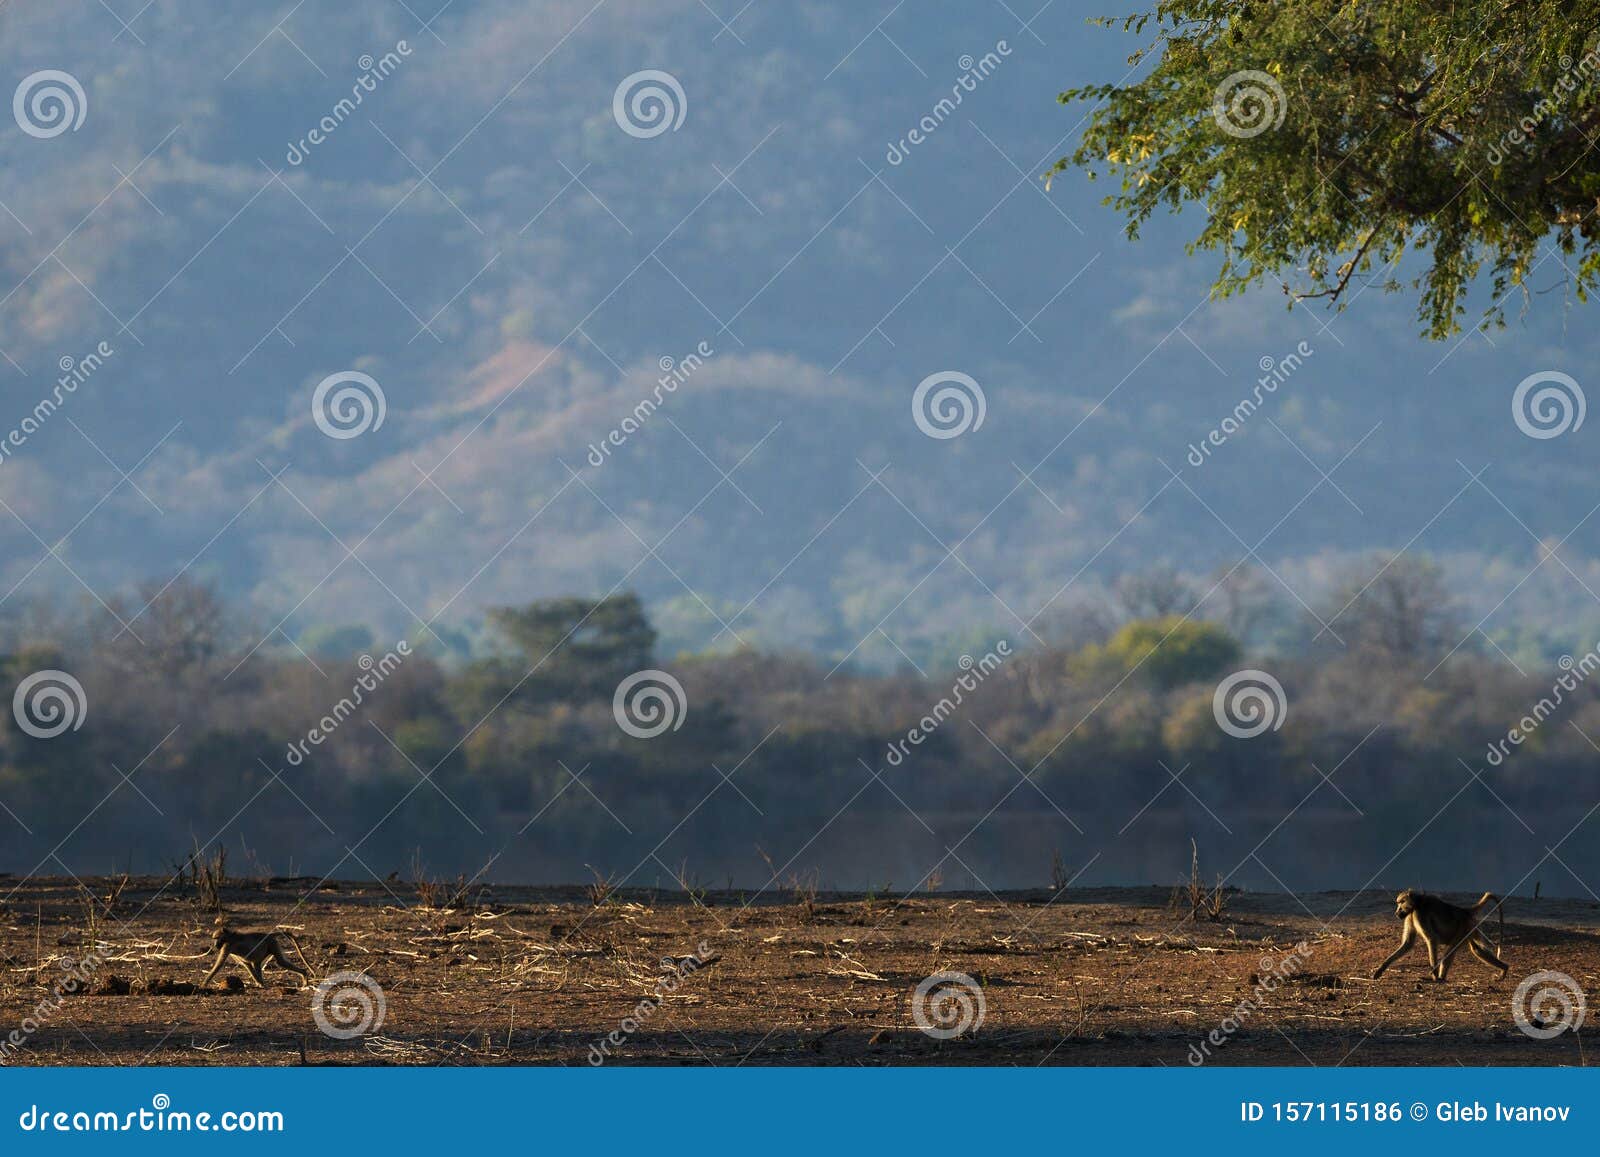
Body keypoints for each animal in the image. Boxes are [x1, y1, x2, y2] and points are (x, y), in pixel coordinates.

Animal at [1370, 890, 1508, 982]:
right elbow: (1408, 943)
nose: (1397, 912)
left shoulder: (1419, 914)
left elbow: (1431, 938)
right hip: (1468, 928)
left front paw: (1434, 975)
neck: (1417, 903)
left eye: (1401, 902)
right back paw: (1504, 968)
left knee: (1450, 951)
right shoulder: (1409, 916)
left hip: (1463, 928)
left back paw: (1440, 978)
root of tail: (1464, 910)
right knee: (1476, 949)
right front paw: (1380, 970)